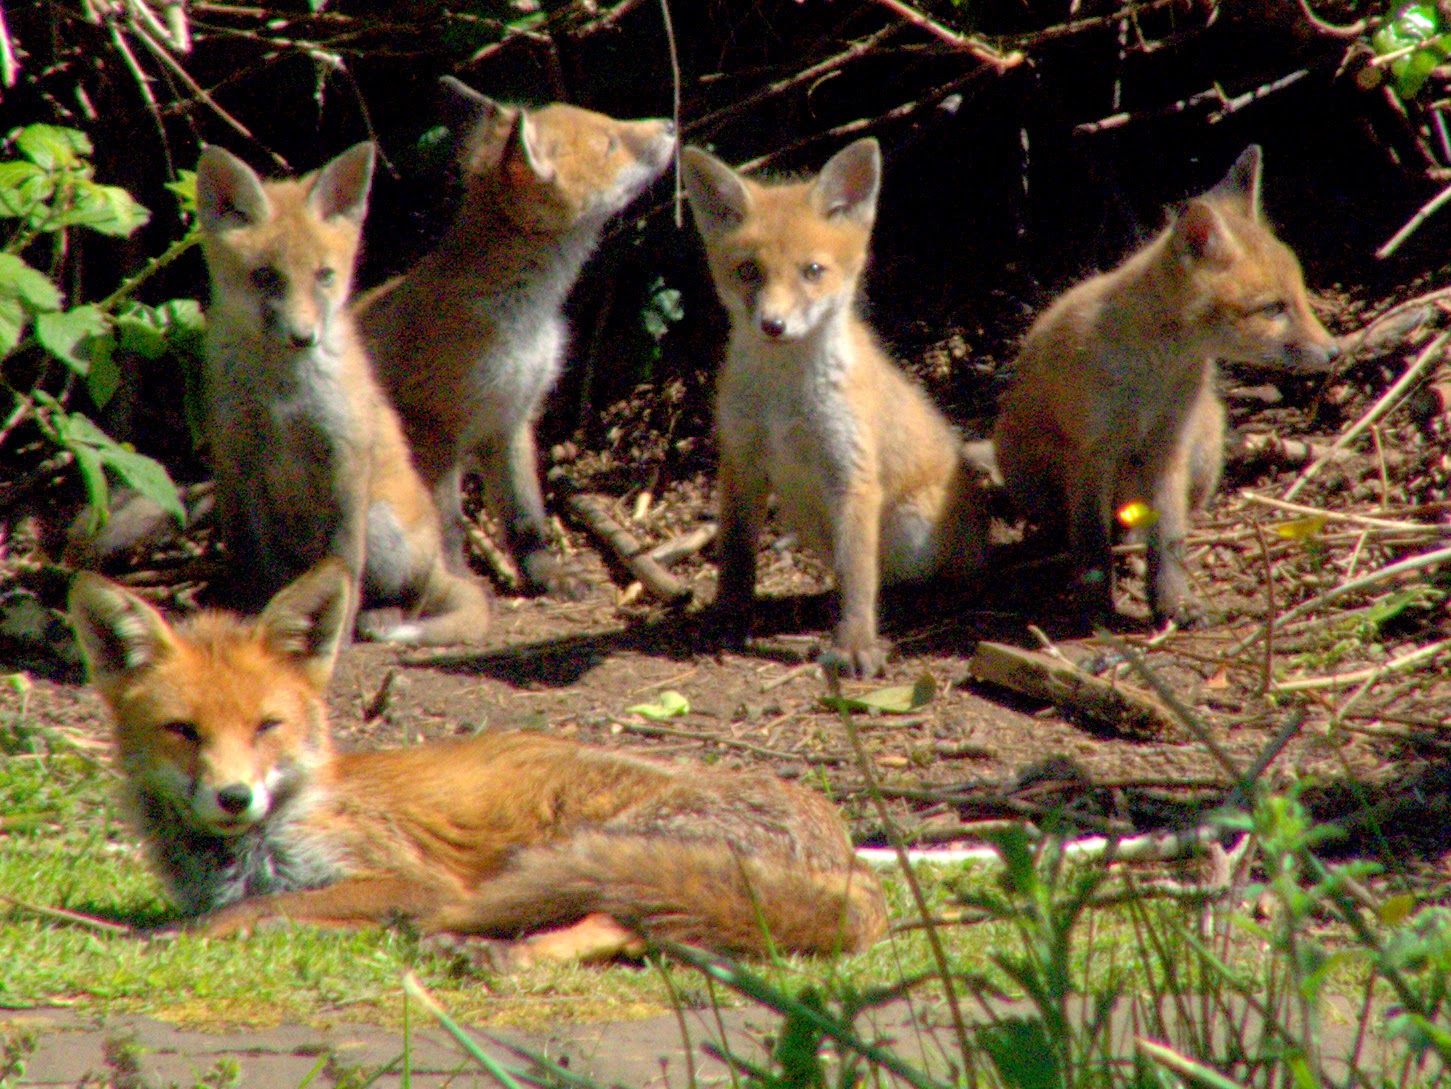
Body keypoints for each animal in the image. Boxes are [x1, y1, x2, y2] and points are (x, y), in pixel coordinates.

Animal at [66, 560, 886, 963]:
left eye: (267, 726)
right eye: (183, 730)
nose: (234, 797)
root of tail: (846, 852)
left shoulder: (401, 873)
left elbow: (263, 907)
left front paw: (185, 931)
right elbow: (255, 907)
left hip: (597, 837)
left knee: (618, 912)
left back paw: (495, 952)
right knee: (656, 924)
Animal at [196, 141, 491, 645]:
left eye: (324, 276)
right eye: (265, 277)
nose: (303, 337)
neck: (283, 397)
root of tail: (439, 559)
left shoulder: (345, 456)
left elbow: (344, 561)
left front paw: (338, 628)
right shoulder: (236, 460)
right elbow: (250, 559)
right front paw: (251, 617)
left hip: (385, 525)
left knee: (414, 595)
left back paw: (382, 615)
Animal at [356, 78, 676, 596]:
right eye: (610, 143)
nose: (670, 121)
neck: (523, 321)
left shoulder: (512, 418)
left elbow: (526, 521)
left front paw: (546, 577)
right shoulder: (432, 432)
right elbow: (448, 527)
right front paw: (460, 584)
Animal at [681, 138, 989, 678]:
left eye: (812, 272)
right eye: (748, 272)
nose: (773, 325)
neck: (783, 403)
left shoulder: (853, 471)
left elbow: (859, 576)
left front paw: (856, 644)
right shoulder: (741, 462)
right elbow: (736, 558)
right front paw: (729, 618)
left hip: (912, 525)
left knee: (916, 579)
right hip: (811, 519)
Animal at [991, 145, 1338, 626]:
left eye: (1301, 296)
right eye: (1272, 309)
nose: (1335, 352)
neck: (1152, 378)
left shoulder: (1169, 446)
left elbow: (1170, 539)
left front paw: (1174, 601)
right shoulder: (1090, 451)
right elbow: (1091, 540)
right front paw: (1094, 610)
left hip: (1205, 453)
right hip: (1024, 470)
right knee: (1069, 526)